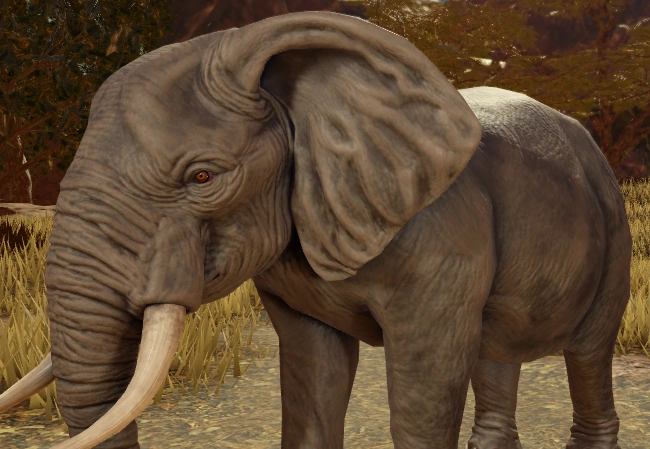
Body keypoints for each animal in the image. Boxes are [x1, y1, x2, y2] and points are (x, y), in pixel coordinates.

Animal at [0, 10, 632, 449]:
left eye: (203, 176)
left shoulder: (443, 240)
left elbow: (424, 393)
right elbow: (313, 378)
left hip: (614, 232)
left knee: (589, 355)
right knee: (497, 355)